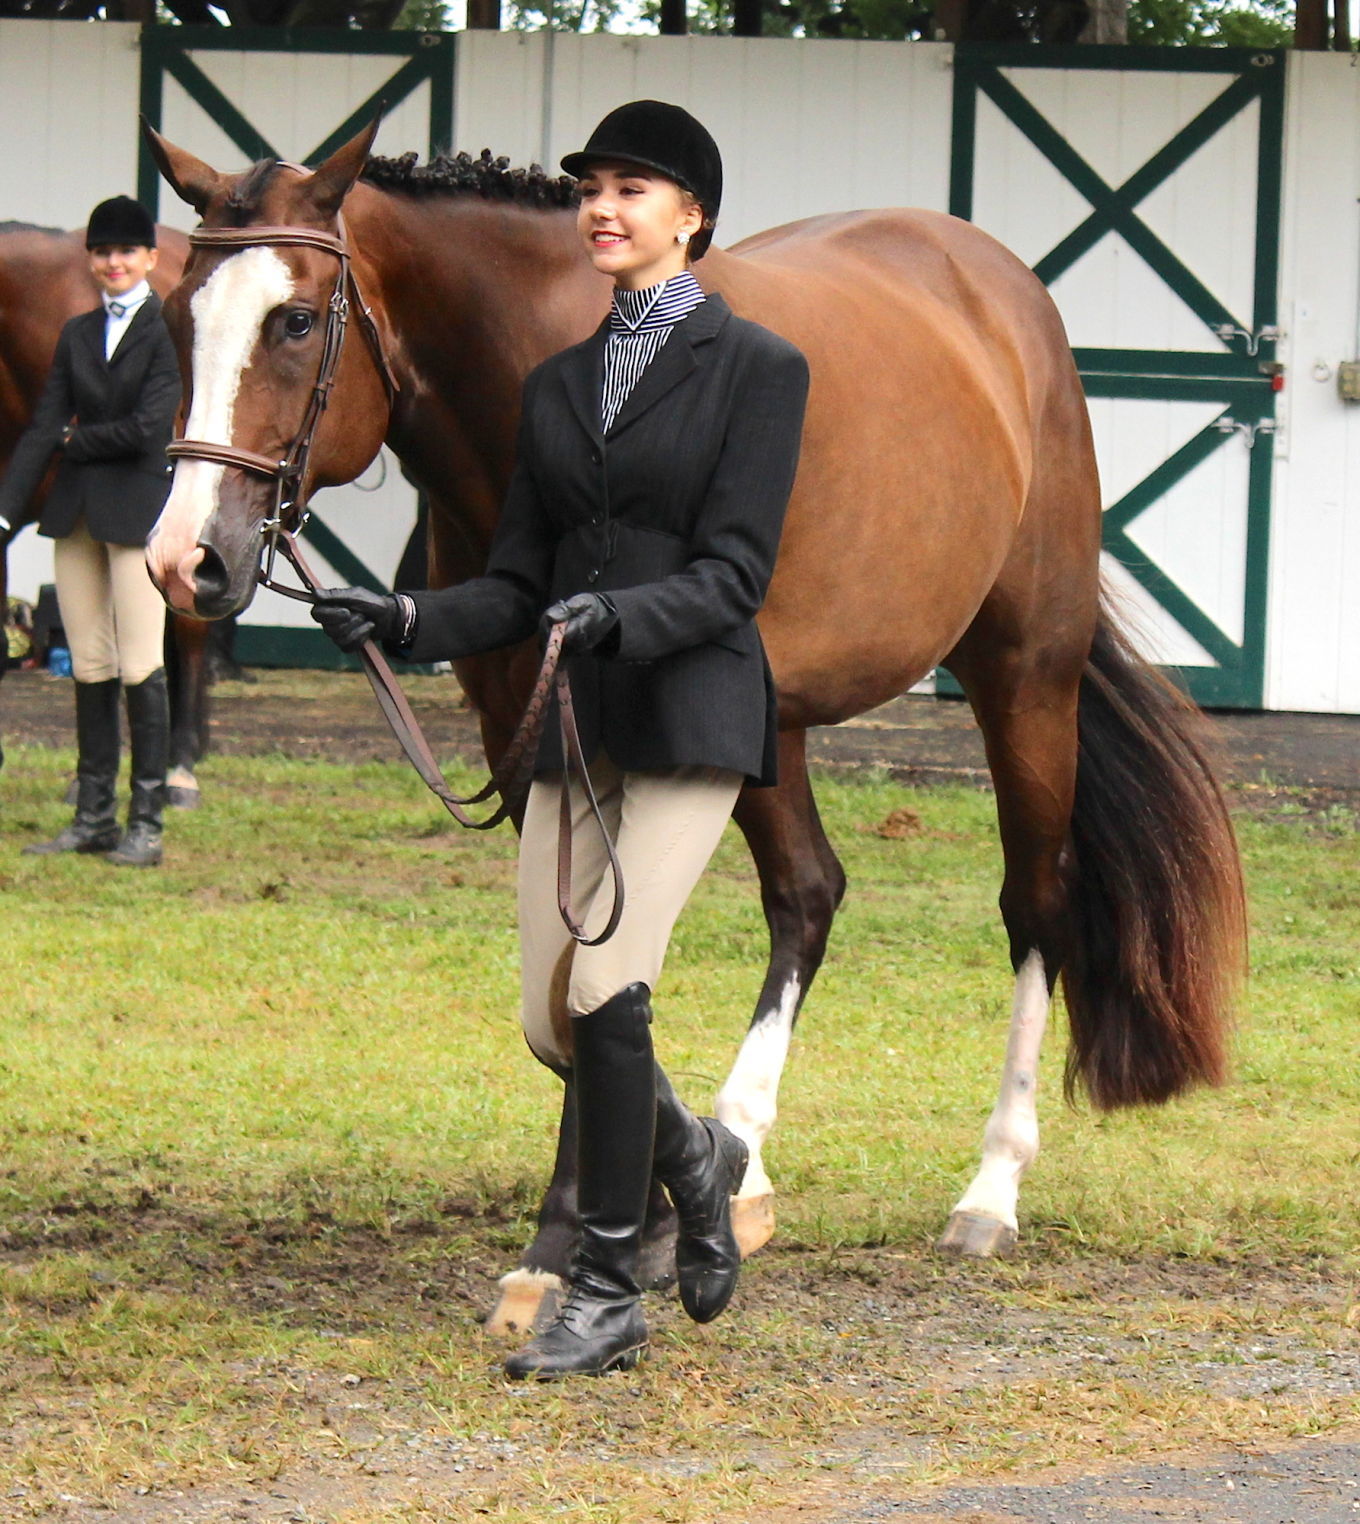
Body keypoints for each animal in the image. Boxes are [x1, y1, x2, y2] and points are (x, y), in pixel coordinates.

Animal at [142, 123, 1246, 1334]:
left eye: (295, 320)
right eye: (177, 312)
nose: (185, 561)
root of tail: (1002, 291)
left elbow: (591, 982)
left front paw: (606, 1233)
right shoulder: (531, 744)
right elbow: (571, 989)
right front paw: (606, 1226)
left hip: (1022, 678)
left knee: (1032, 905)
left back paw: (988, 1190)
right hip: (782, 727)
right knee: (809, 894)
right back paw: (742, 1165)